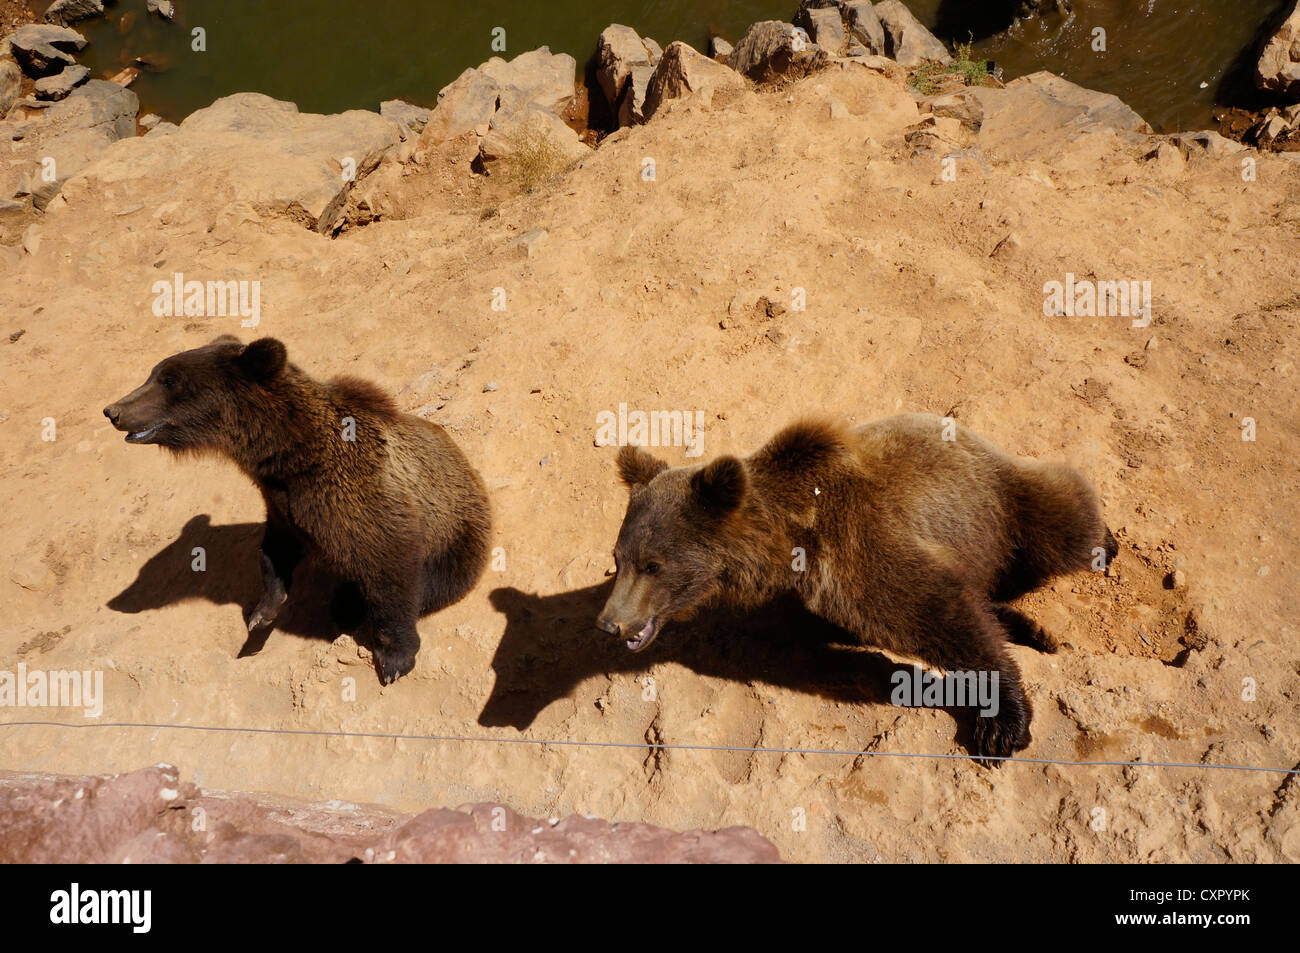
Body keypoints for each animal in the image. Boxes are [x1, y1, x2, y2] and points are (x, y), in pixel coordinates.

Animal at [104, 336, 491, 684]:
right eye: (155, 373)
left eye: (169, 379)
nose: (113, 411)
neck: (287, 454)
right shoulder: (281, 500)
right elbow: (274, 549)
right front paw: (262, 613)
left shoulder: (361, 497)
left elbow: (391, 567)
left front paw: (395, 657)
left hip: (460, 538)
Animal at [596, 413, 1118, 763]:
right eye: (618, 558)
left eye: (653, 564)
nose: (609, 623)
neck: (792, 543)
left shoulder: (860, 546)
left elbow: (937, 611)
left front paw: (1000, 724)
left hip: (1000, 503)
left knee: (1062, 519)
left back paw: (1103, 542)